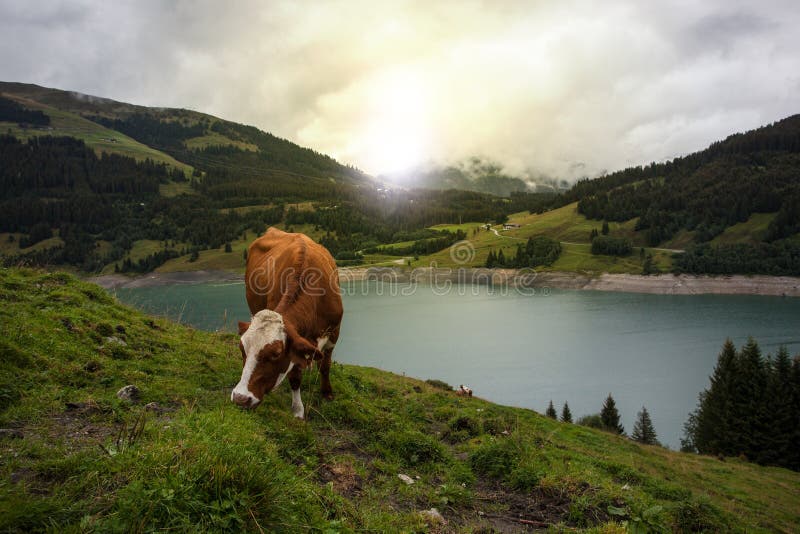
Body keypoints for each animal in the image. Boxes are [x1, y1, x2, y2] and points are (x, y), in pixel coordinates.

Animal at [231, 228, 343, 418]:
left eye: (276, 353)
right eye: (241, 348)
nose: (240, 398)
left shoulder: (334, 332)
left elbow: (325, 366)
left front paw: (327, 393)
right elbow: (295, 376)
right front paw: (298, 410)